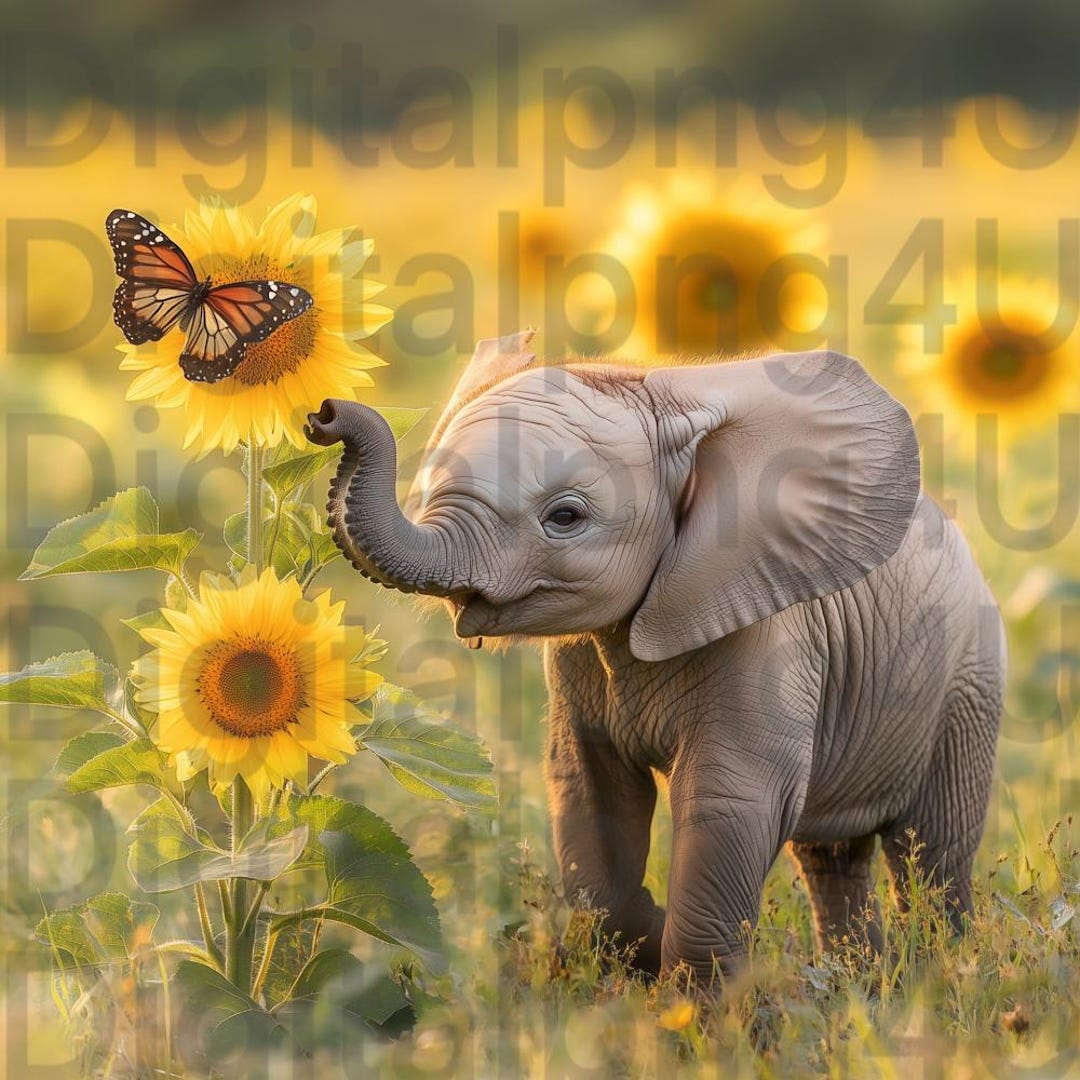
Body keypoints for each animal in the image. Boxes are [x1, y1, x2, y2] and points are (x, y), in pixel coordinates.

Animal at [306, 330, 1004, 985]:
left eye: (565, 517)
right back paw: (857, 981)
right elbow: (591, 794)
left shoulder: (771, 634)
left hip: (970, 681)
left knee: (932, 851)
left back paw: (940, 976)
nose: (323, 413)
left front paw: (700, 1007)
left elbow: (729, 802)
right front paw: (643, 946)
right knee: (831, 856)